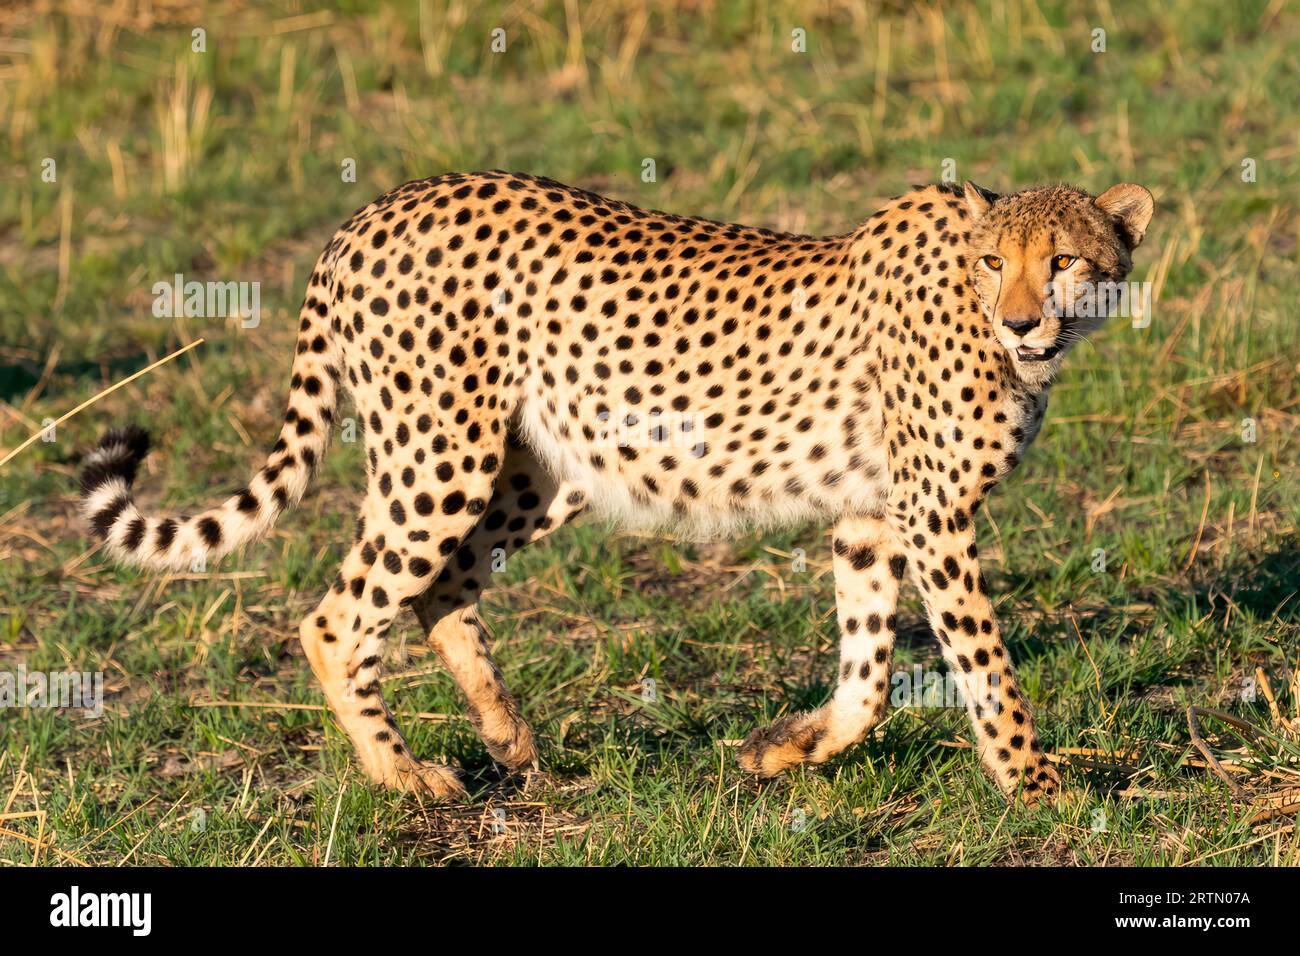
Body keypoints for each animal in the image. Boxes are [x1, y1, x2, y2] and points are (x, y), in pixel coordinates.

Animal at [79, 171, 1153, 804]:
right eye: (994, 260)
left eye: (1063, 259)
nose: (1021, 320)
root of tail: (376, 207)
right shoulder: (933, 518)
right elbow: (985, 667)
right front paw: (1039, 784)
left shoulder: (868, 517)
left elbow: (867, 679)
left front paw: (783, 750)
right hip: (440, 456)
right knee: (338, 616)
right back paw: (406, 776)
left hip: (538, 470)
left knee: (441, 589)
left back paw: (510, 739)